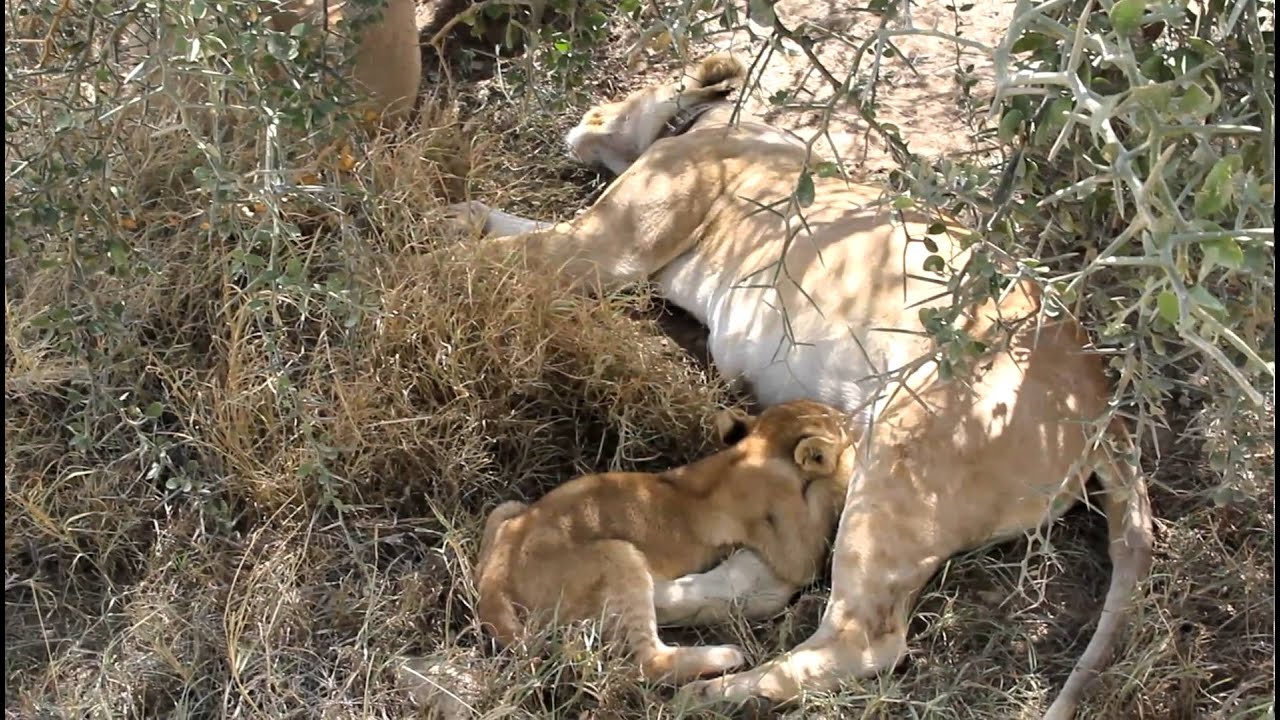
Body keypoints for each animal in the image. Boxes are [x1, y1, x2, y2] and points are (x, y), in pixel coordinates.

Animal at [474, 400, 859, 683]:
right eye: (840, 419)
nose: (852, 416)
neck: (756, 449)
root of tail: (494, 580)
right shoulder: (797, 550)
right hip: (617, 554)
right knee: (650, 662)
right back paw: (725, 655)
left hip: (508, 509)